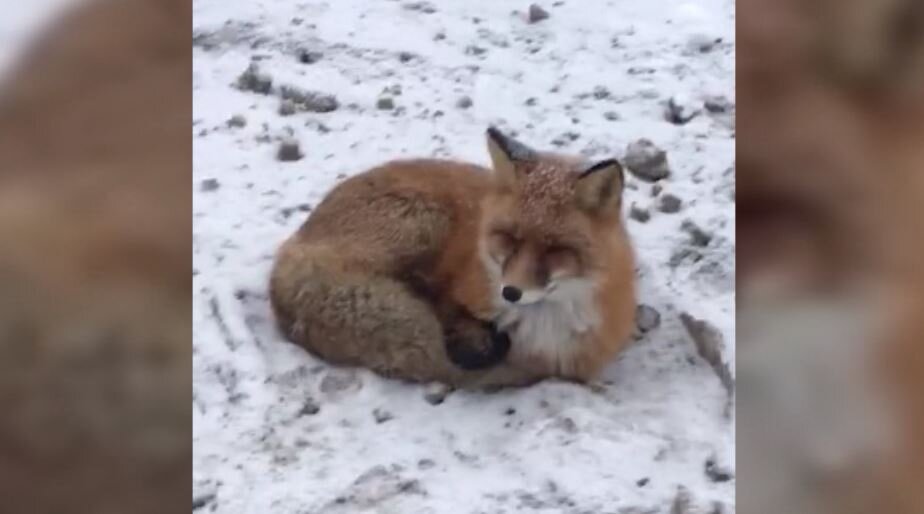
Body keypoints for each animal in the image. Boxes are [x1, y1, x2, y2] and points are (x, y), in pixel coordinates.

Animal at [270, 126, 640, 386]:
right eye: (508, 238)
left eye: (555, 249)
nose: (510, 292)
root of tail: (292, 246)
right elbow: (450, 316)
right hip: (424, 222)